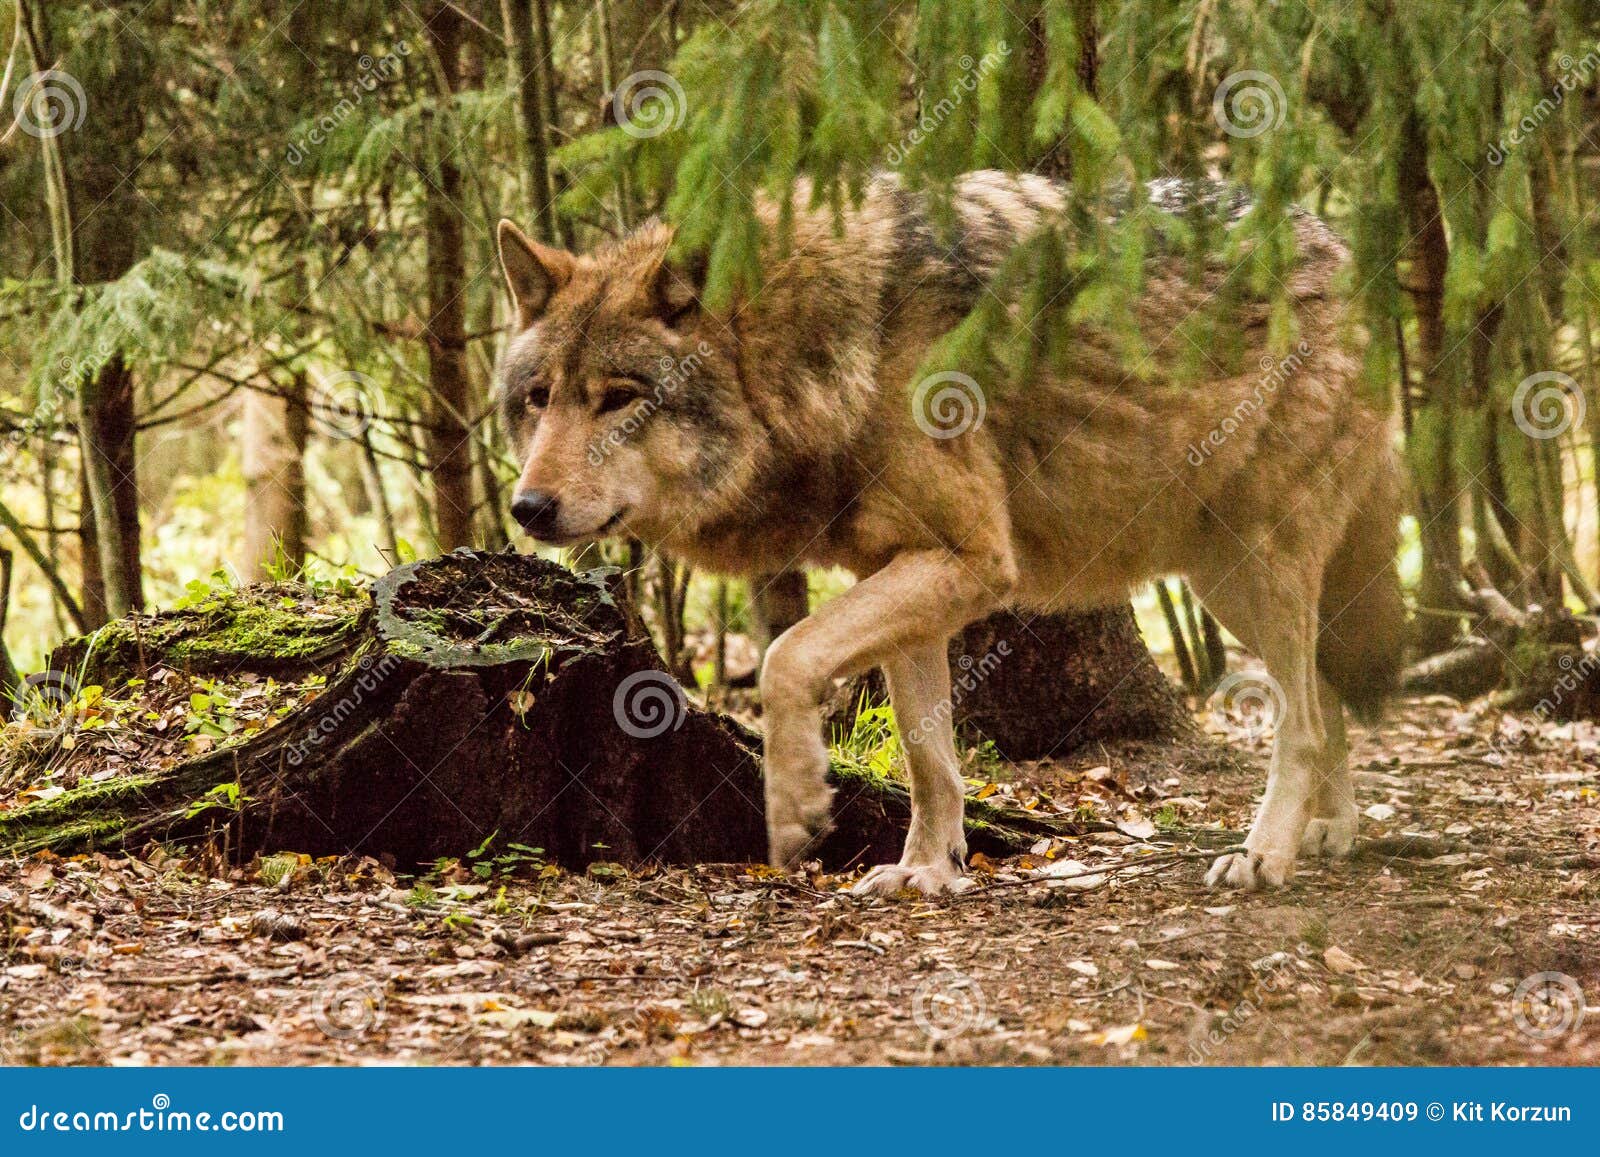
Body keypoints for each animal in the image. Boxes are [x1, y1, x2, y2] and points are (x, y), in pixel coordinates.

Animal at [495, 170, 1403, 895]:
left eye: (618, 398)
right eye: (539, 398)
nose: (527, 508)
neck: (821, 350)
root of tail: (1344, 247)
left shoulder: (972, 562)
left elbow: (787, 658)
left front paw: (798, 809)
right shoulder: (910, 570)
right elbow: (929, 759)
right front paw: (927, 871)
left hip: (1258, 565)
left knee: (1303, 716)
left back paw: (1266, 854)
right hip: (1225, 580)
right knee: (1324, 695)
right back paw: (1330, 832)